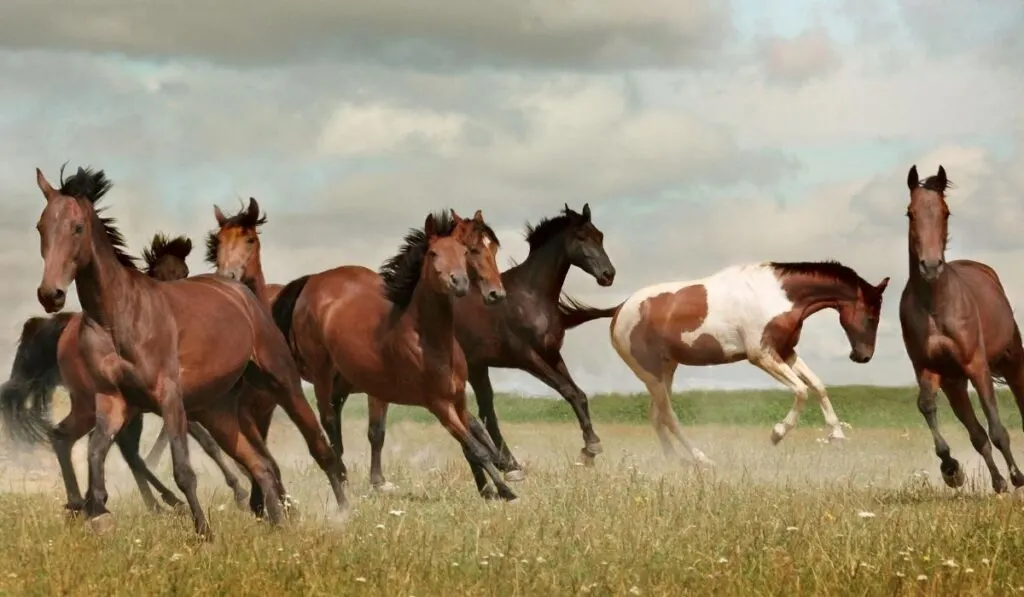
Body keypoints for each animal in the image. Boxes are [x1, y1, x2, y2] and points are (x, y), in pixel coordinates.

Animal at [1, 232, 249, 511]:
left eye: (184, 271)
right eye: (164, 274)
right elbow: (207, 442)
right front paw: (239, 490)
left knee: (116, 447)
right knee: (125, 450)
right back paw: (162, 501)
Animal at [31, 165, 346, 538]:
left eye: (77, 227)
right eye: (41, 227)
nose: (50, 294)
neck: (119, 316)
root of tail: (240, 292)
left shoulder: (169, 397)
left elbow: (183, 469)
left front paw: (204, 533)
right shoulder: (112, 400)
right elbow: (96, 456)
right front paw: (97, 512)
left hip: (283, 384)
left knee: (317, 448)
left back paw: (344, 513)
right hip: (217, 411)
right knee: (262, 466)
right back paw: (278, 526)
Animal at [271, 210, 518, 500]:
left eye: (466, 251)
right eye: (474, 250)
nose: (495, 293)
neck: (430, 340)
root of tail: (313, 283)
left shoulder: (457, 399)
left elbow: (473, 436)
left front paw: (494, 481)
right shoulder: (438, 403)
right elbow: (475, 447)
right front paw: (503, 487)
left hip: (345, 383)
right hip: (322, 375)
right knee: (329, 420)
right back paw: (341, 477)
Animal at [561, 260, 888, 464]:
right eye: (872, 317)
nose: (862, 356)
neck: (779, 296)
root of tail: (619, 309)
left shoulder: (785, 352)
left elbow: (818, 386)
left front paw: (837, 435)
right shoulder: (761, 355)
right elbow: (801, 390)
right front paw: (777, 434)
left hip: (666, 370)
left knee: (656, 416)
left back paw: (676, 462)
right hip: (651, 374)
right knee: (668, 416)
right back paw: (700, 459)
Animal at [900, 164, 1024, 494]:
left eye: (945, 212)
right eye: (910, 213)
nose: (931, 266)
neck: (935, 306)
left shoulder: (976, 364)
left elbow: (997, 428)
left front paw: (1017, 477)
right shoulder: (930, 369)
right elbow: (927, 406)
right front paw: (952, 470)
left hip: (1012, 362)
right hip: (955, 383)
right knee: (976, 433)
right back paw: (996, 481)